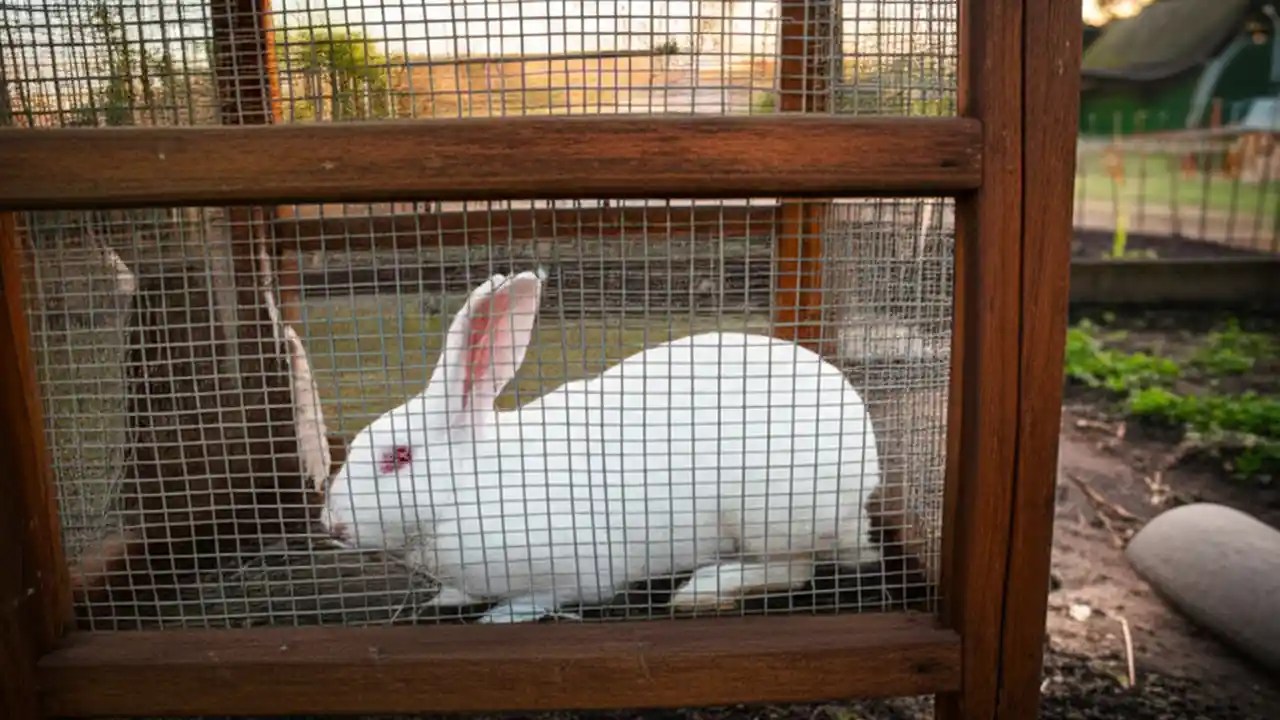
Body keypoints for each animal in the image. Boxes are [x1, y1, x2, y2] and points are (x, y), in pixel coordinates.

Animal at [320, 268, 884, 624]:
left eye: (398, 457)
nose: (332, 524)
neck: (469, 488)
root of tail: (867, 472)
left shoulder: (574, 572)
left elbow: (546, 596)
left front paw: (500, 616)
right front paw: (446, 599)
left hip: (769, 516)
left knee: (796, 568)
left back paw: (700, 591)